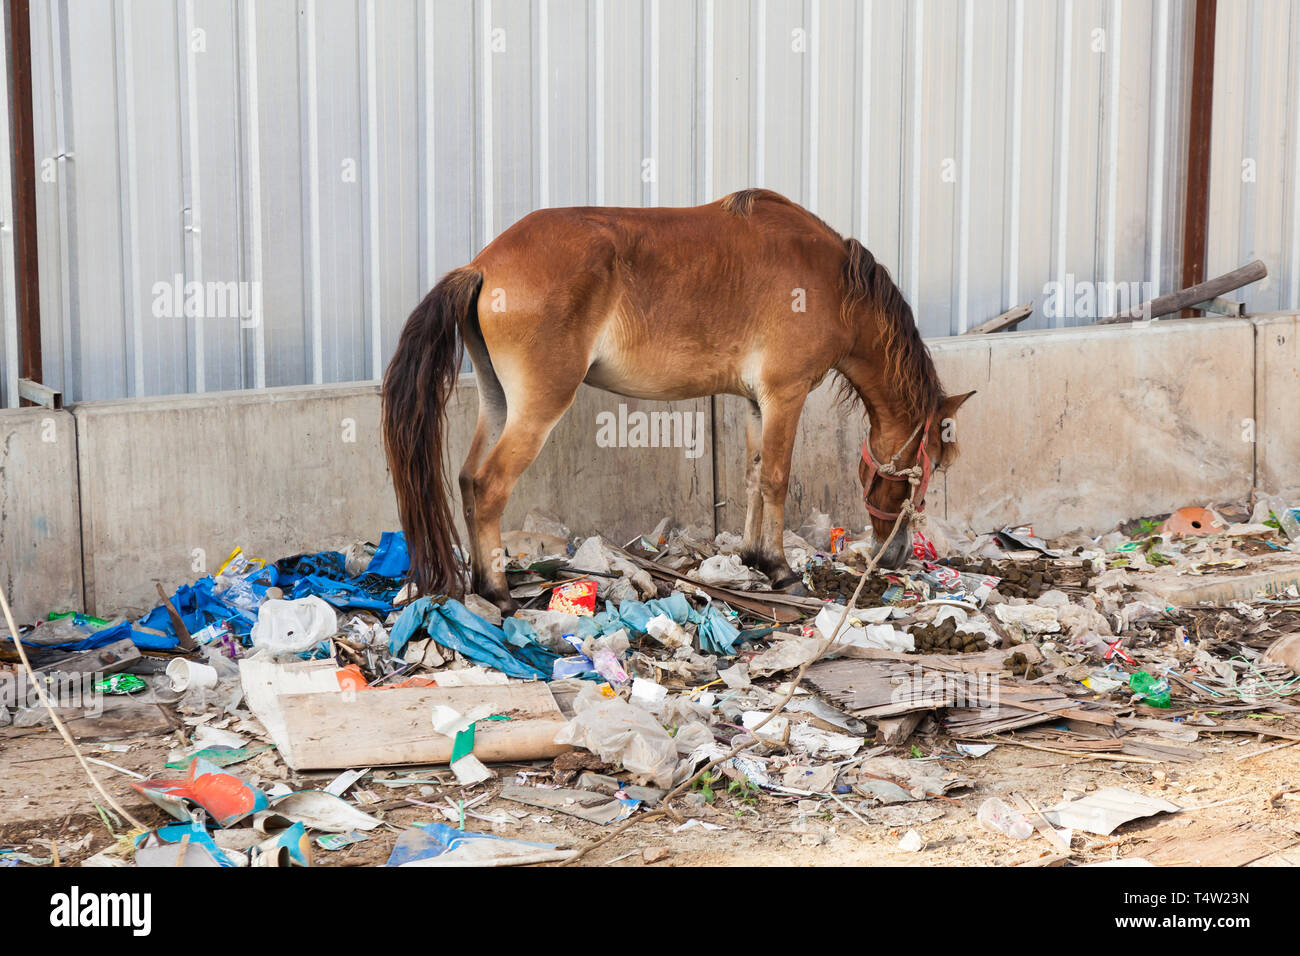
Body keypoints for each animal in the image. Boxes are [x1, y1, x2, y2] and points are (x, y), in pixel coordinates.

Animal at [382, 188, 974, 612]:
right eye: (929, 465)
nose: (896, 555)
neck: (830, 280)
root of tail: (483, 265)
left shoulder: (759, 402)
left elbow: (755, 475)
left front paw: (756, 559)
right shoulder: (785, 395)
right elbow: (777, 478)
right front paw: (783, 572)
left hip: (498, 402)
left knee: (467, 479)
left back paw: (484, 585)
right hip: (537, 409)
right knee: (488, 486)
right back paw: (500, 594)